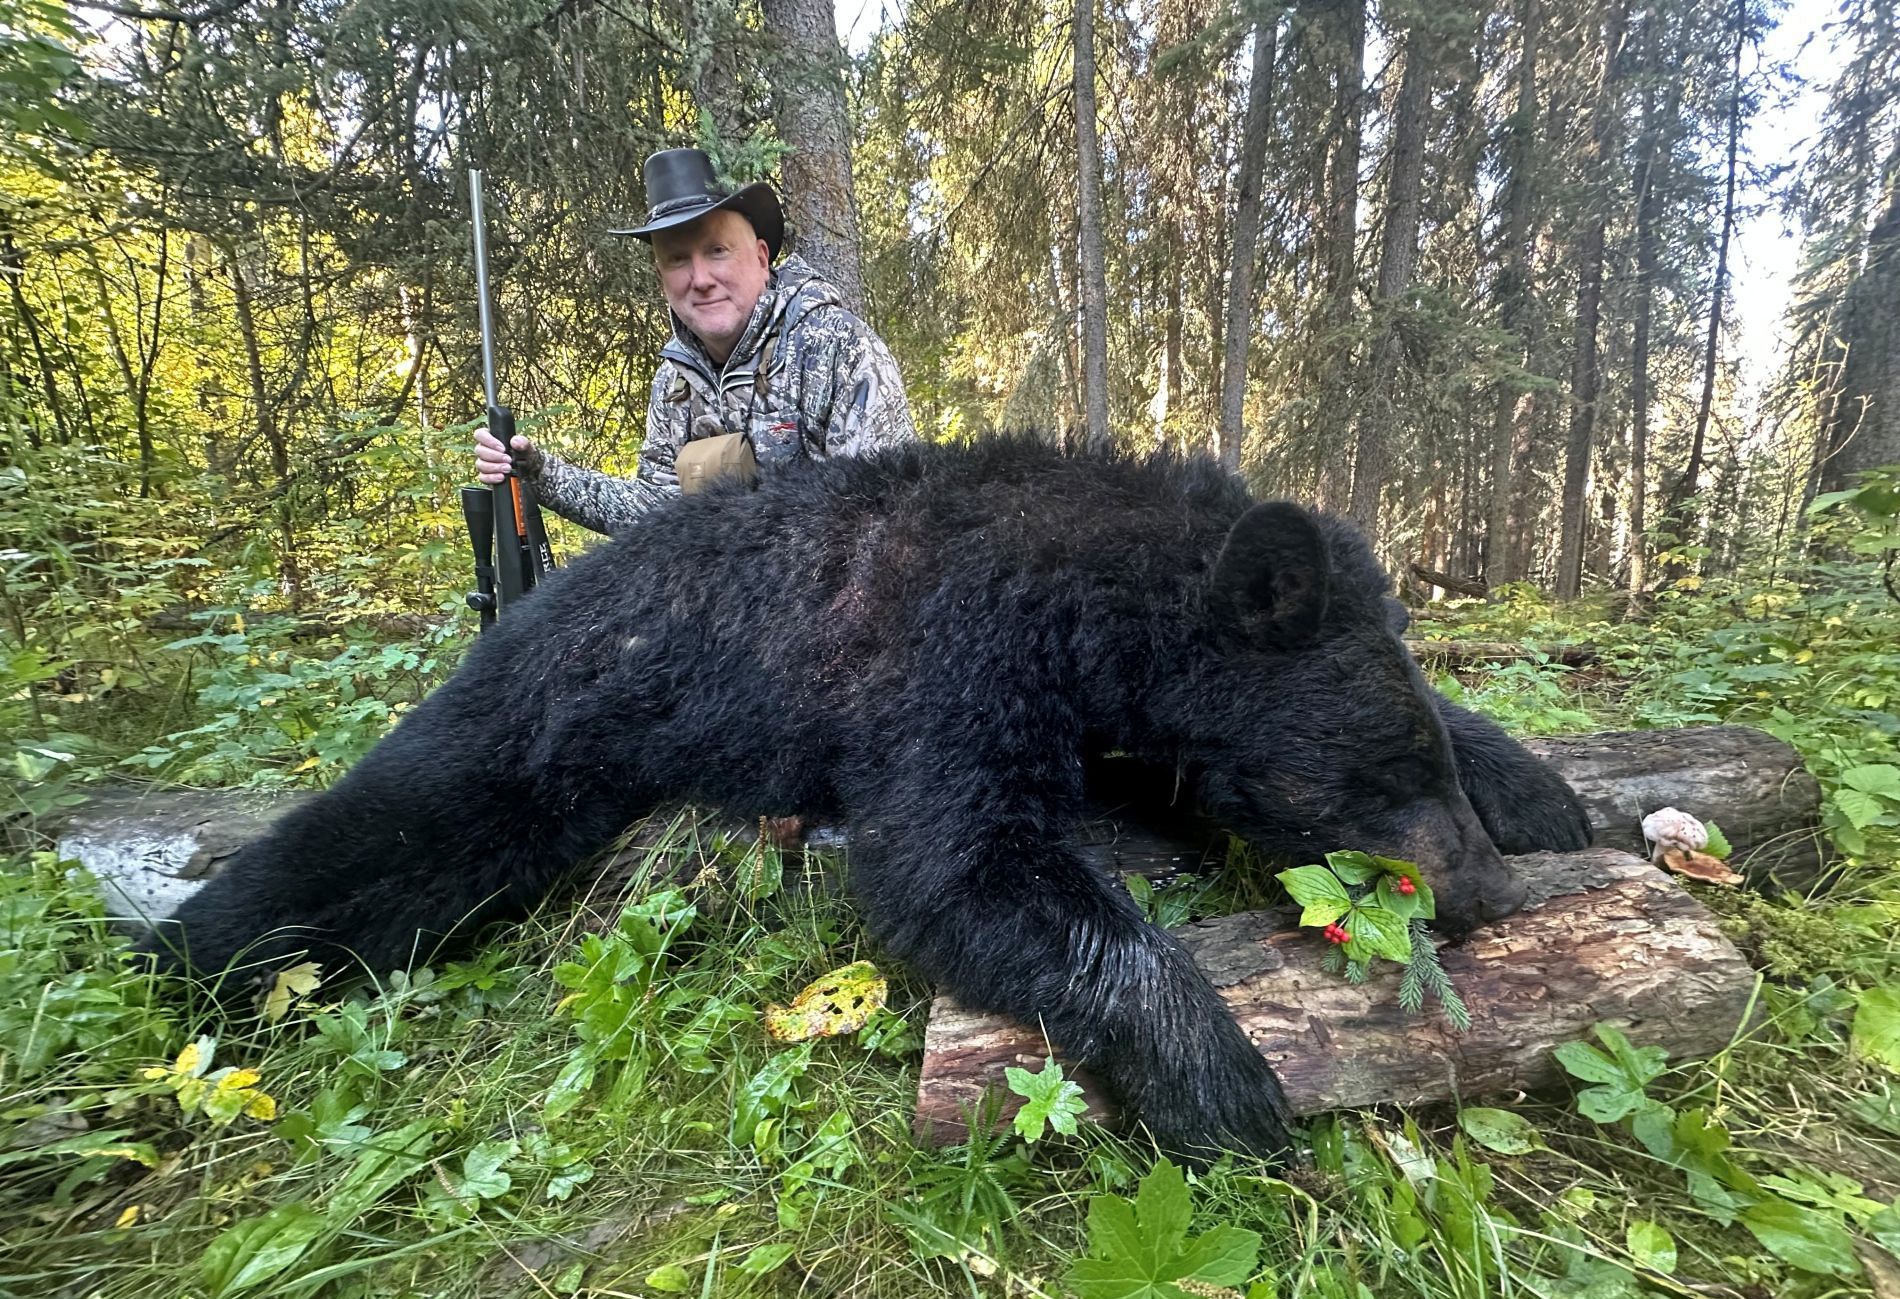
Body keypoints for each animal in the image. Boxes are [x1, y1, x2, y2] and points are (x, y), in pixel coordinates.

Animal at [140, 437, 1590, 1162]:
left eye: (1421, 759)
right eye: (1378, 774)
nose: (1483, 891)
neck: (1092, 597)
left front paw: (1541, 784)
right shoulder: (946, 652)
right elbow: (954, 855)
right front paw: (1222, 1076)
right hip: (538, 730)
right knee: (390, 832)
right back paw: (182, 965)